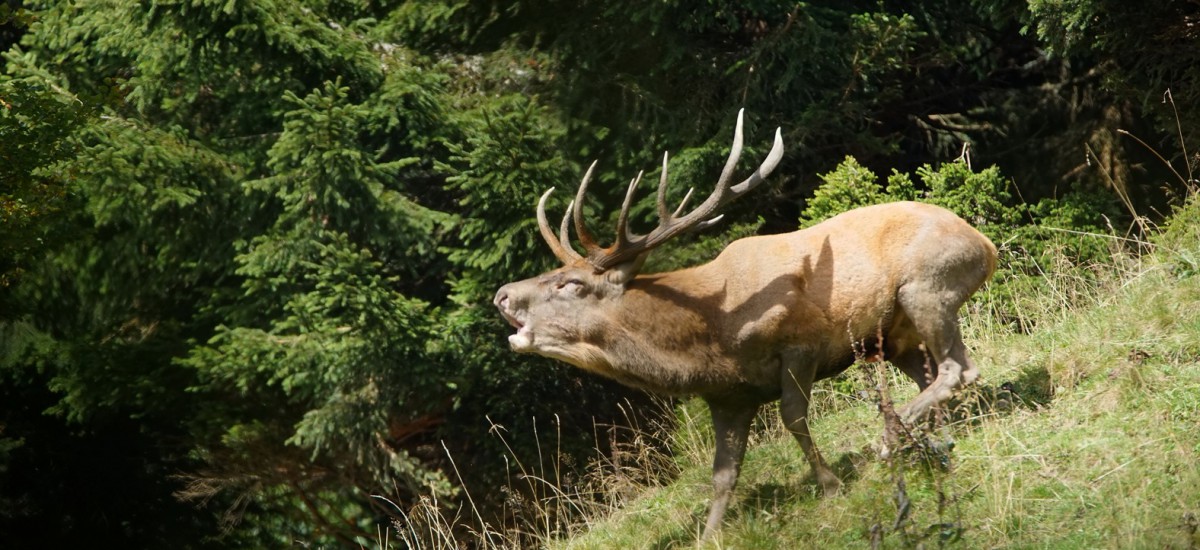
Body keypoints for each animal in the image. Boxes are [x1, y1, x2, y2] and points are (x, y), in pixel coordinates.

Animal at [492, 110, 998, 539]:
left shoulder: (802, 342)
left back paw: (892, 436)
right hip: (896, 336)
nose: (502, 295)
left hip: (927, 286)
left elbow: (793, 417)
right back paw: (935, 432)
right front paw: (709, 536)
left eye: (572, 283)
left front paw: (830, 483)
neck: (714, 338)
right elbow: (724, 473)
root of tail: (985, 245)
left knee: (958, 367)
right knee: (942, 374)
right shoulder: (728, 396)